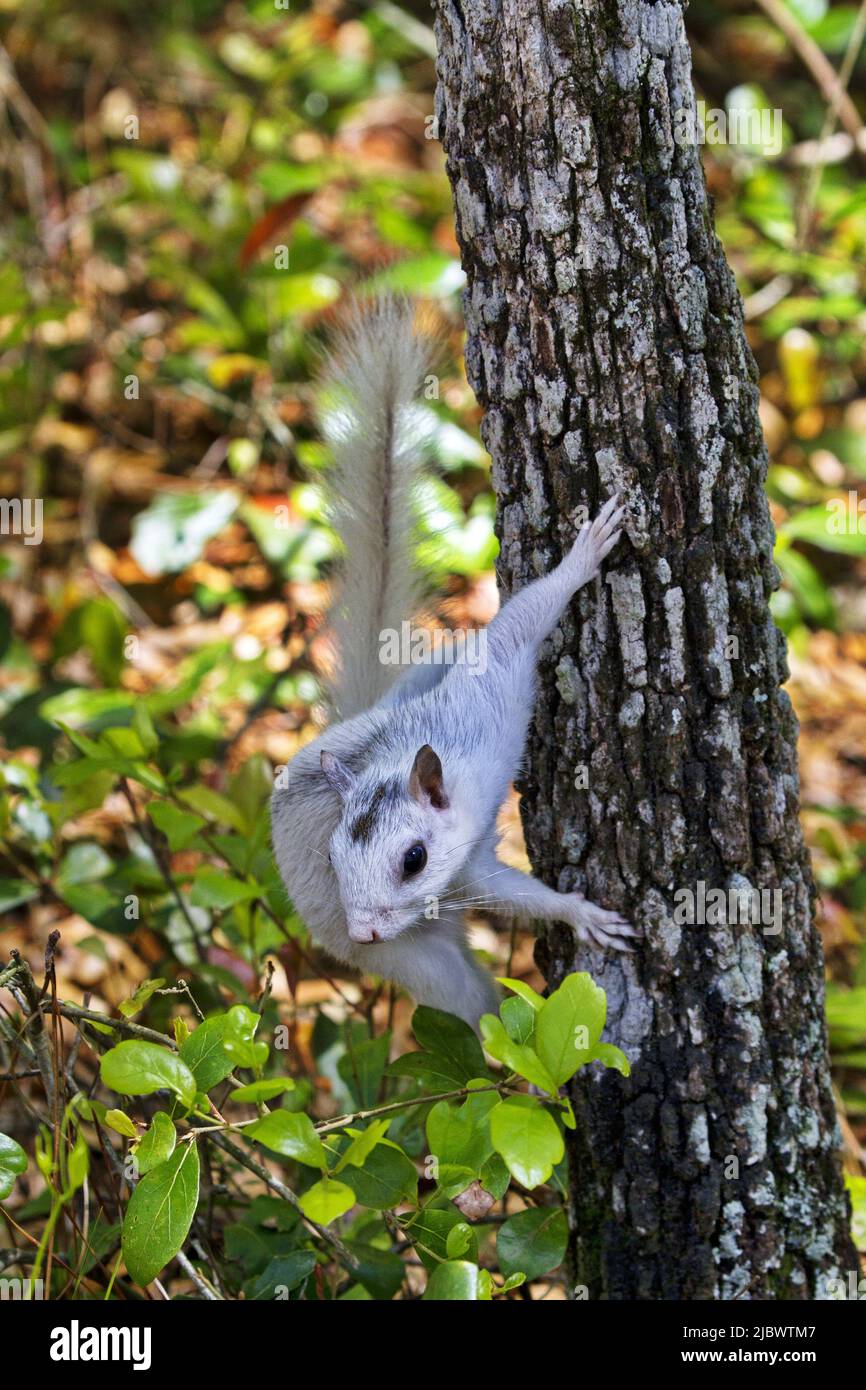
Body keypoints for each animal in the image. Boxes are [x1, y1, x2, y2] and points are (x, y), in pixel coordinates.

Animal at [271, 298, 636, 1029]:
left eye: (414, 860)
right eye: (333, 858)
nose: (364, 932)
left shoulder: (489, 679)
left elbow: (520, 620)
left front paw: (583, 555)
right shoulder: (464, 862)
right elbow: (510, 891)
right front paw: (578, 913)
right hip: (418, 961)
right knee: (464, 996)